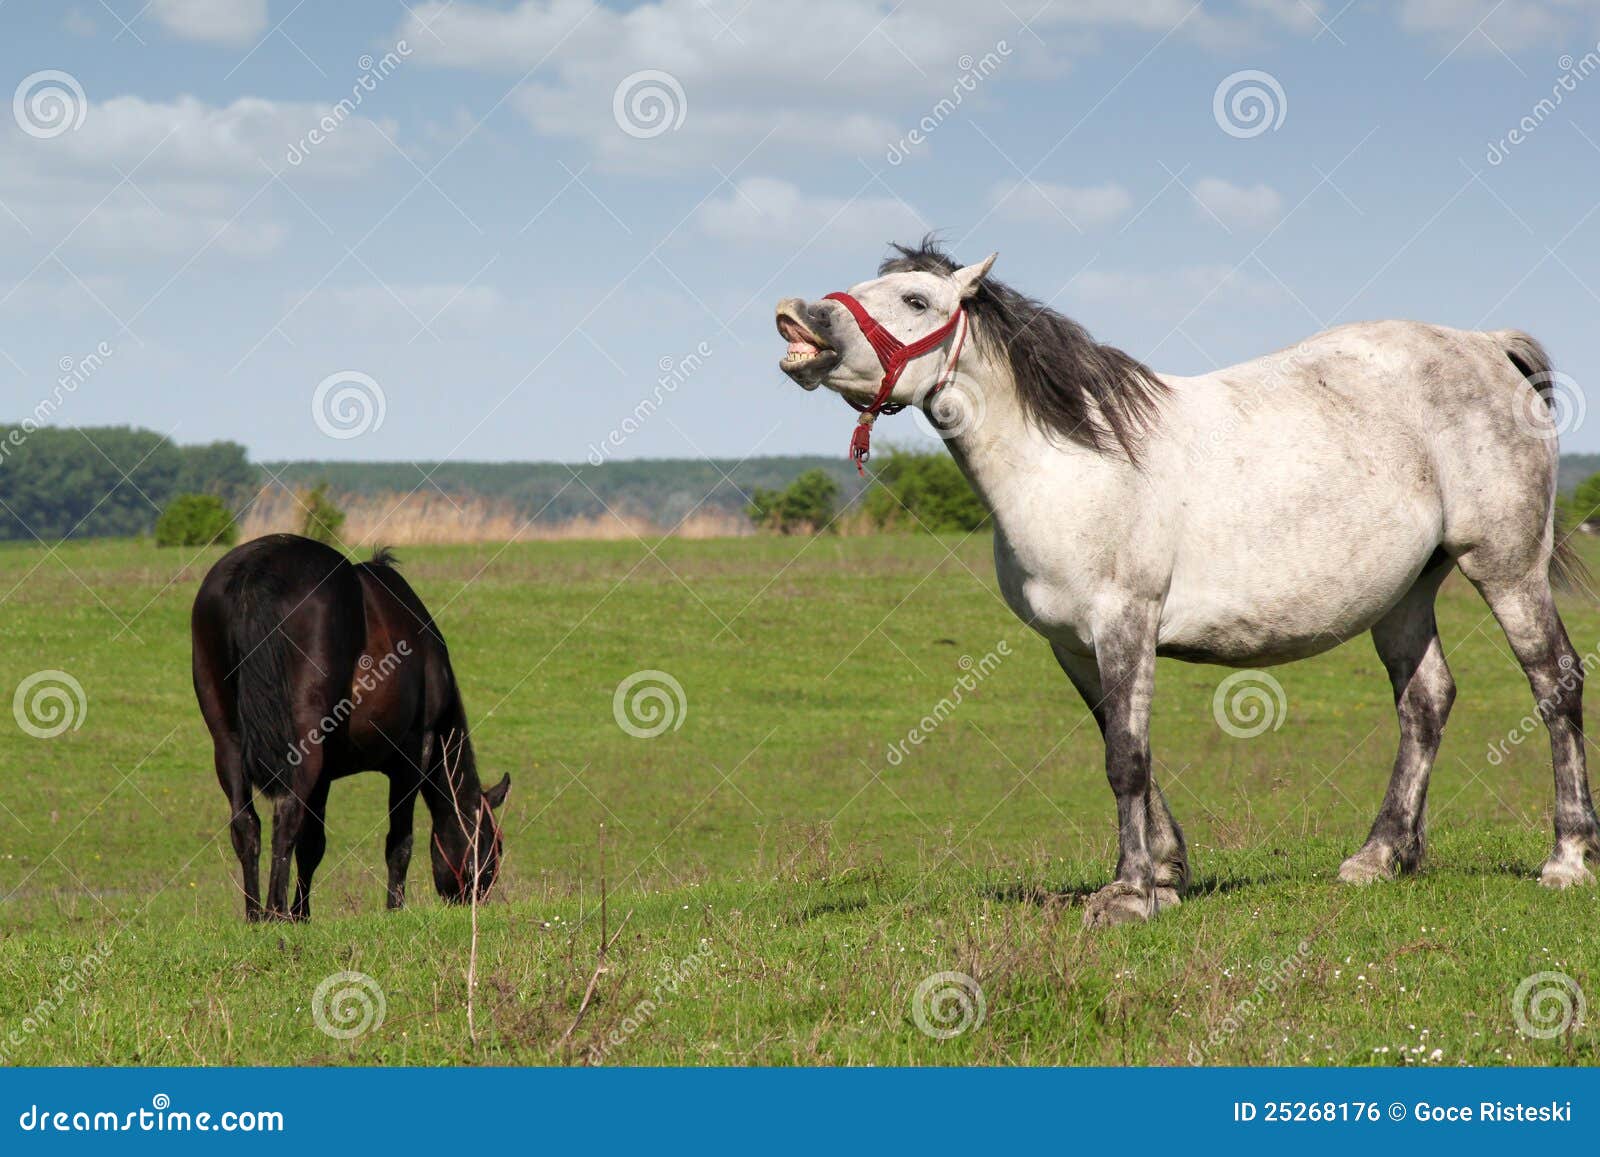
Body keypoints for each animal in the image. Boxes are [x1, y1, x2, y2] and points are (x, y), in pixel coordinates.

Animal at [191, 533, 510, 922]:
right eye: (494, 844)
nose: (476, 899)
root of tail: (258, 567)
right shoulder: (412, 758)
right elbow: (399, 842)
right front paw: (394, 909)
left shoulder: (325, 777)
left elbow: (313, 845)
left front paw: (303, 915)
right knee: (286, 818)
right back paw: (275, 911)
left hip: (228, 742)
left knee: (246, 823)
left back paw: (255, 915)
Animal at [775, 238, 1600, 927]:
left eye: (916, 300)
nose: (799, 319)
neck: (1070, 459)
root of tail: (1486, 346)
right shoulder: (1074, 645)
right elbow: (1122, 745)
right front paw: (1164, 872)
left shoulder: (1125, 621)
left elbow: (1126, 758)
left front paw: (1130, 895)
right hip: (1404, 595)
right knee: (1425, 702)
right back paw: (1379, 855)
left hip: (1507, 568)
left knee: (1554, 682)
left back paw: (1565, 858)